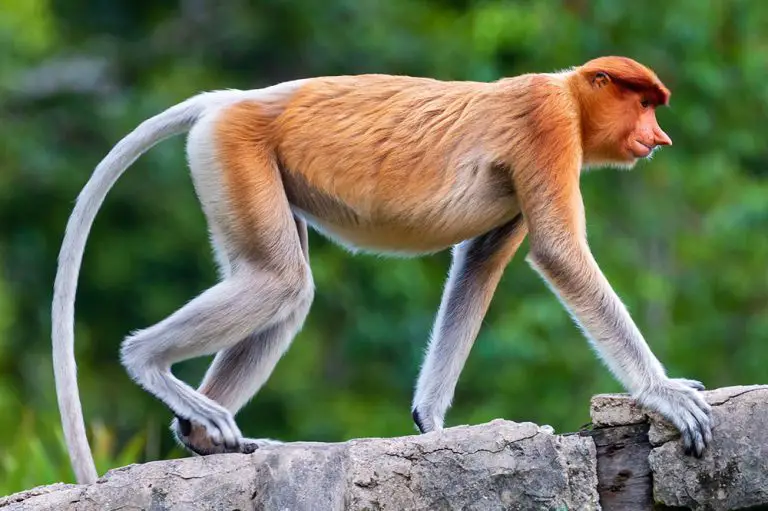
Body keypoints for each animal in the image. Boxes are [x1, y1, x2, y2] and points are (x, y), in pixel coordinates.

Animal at [52, 56, 712, 484]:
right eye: (642, 102)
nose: (660, 137)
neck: (570, 96)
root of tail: (230, 99)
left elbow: (480, 260)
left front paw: (431, 423)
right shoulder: (546, 128)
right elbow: (560, 255)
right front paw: (665, 394)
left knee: (286, 287)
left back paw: (207, 439)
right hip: (235, 149)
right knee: (279, 281)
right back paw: (148, 364)